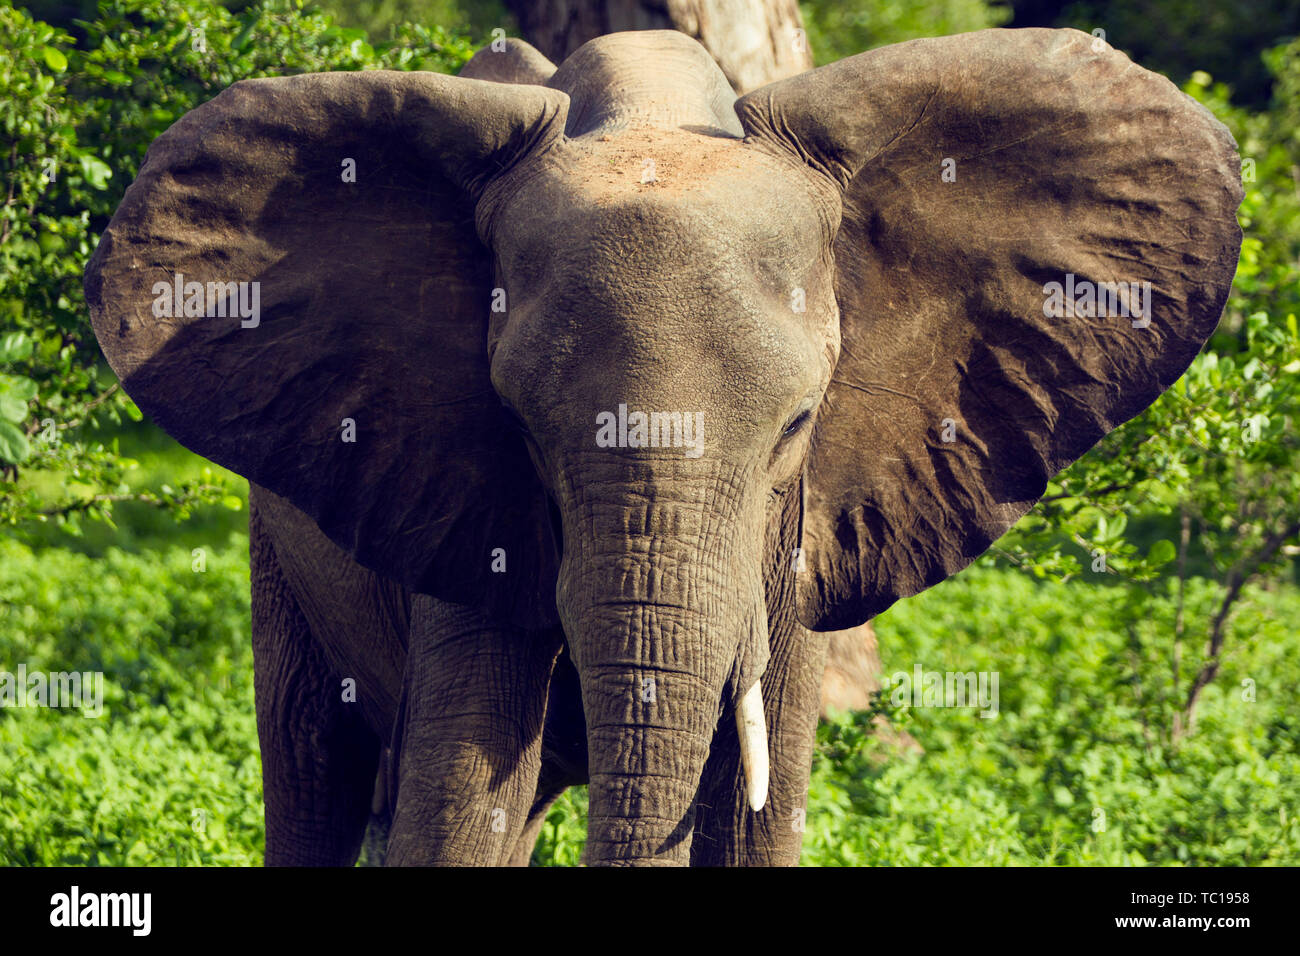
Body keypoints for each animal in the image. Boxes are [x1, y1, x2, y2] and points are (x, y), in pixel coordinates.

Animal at [84, 27, 1242, 866]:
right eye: (521, 427)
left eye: (797, 426)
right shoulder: (465, 498)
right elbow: (460, 805)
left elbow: (760, 820)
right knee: (312, 762)